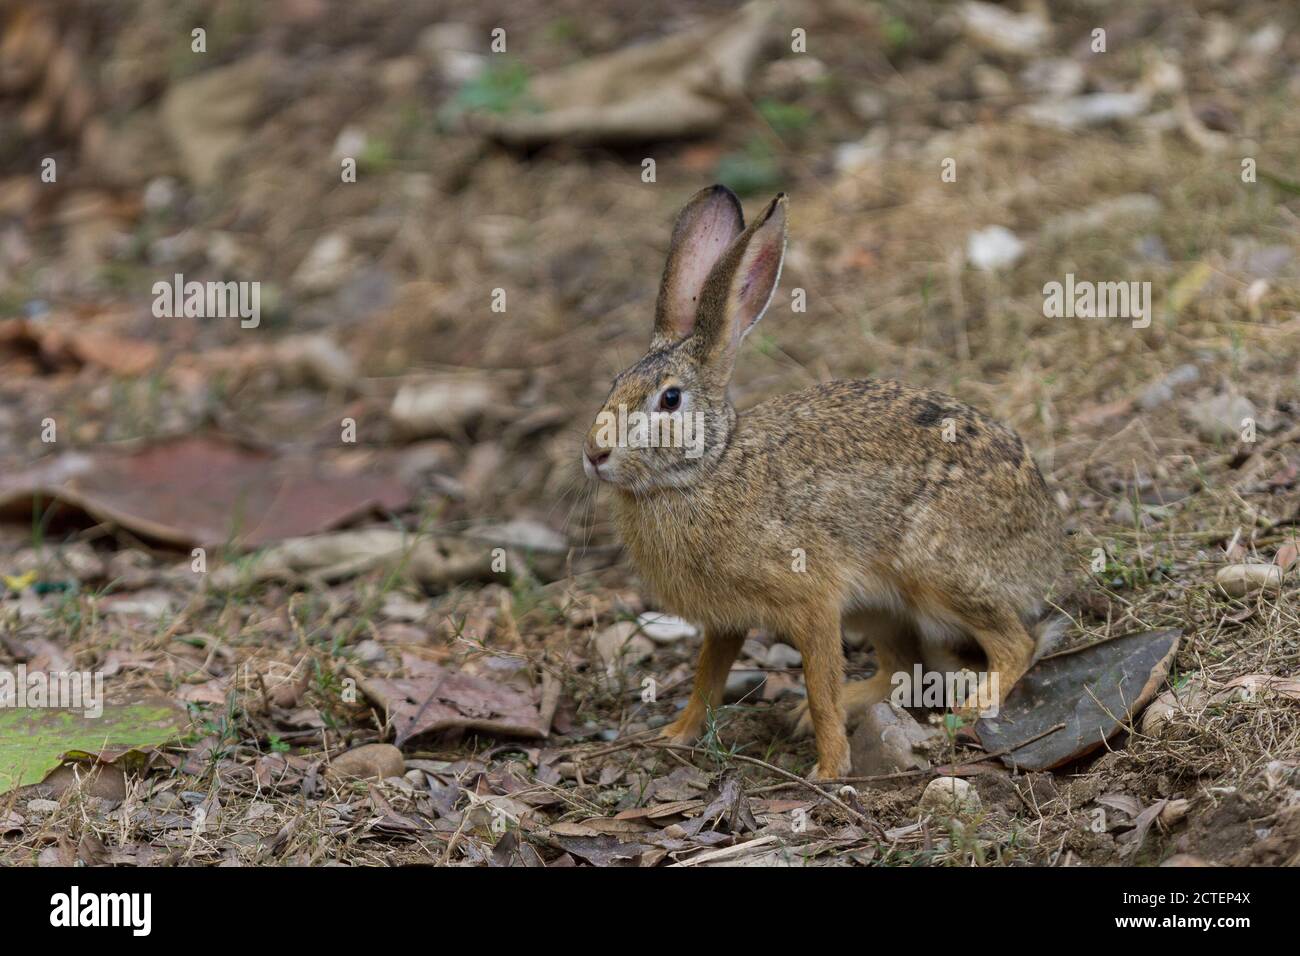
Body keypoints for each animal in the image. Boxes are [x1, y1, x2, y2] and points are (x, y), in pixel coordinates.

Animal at [582, 184, 1067, 779]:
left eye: (669, 399)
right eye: (613, 383)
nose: (594, 453)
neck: (707, 468)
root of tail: (1045, 545)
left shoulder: (812, 600)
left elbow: (820, 687)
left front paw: (831, 769)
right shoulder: (727, 620)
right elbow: (707, 677)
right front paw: (675, 735)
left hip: (937, 573)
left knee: (1014, 644)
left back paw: (972, 706)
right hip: (878, 608)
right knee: (900, 667)